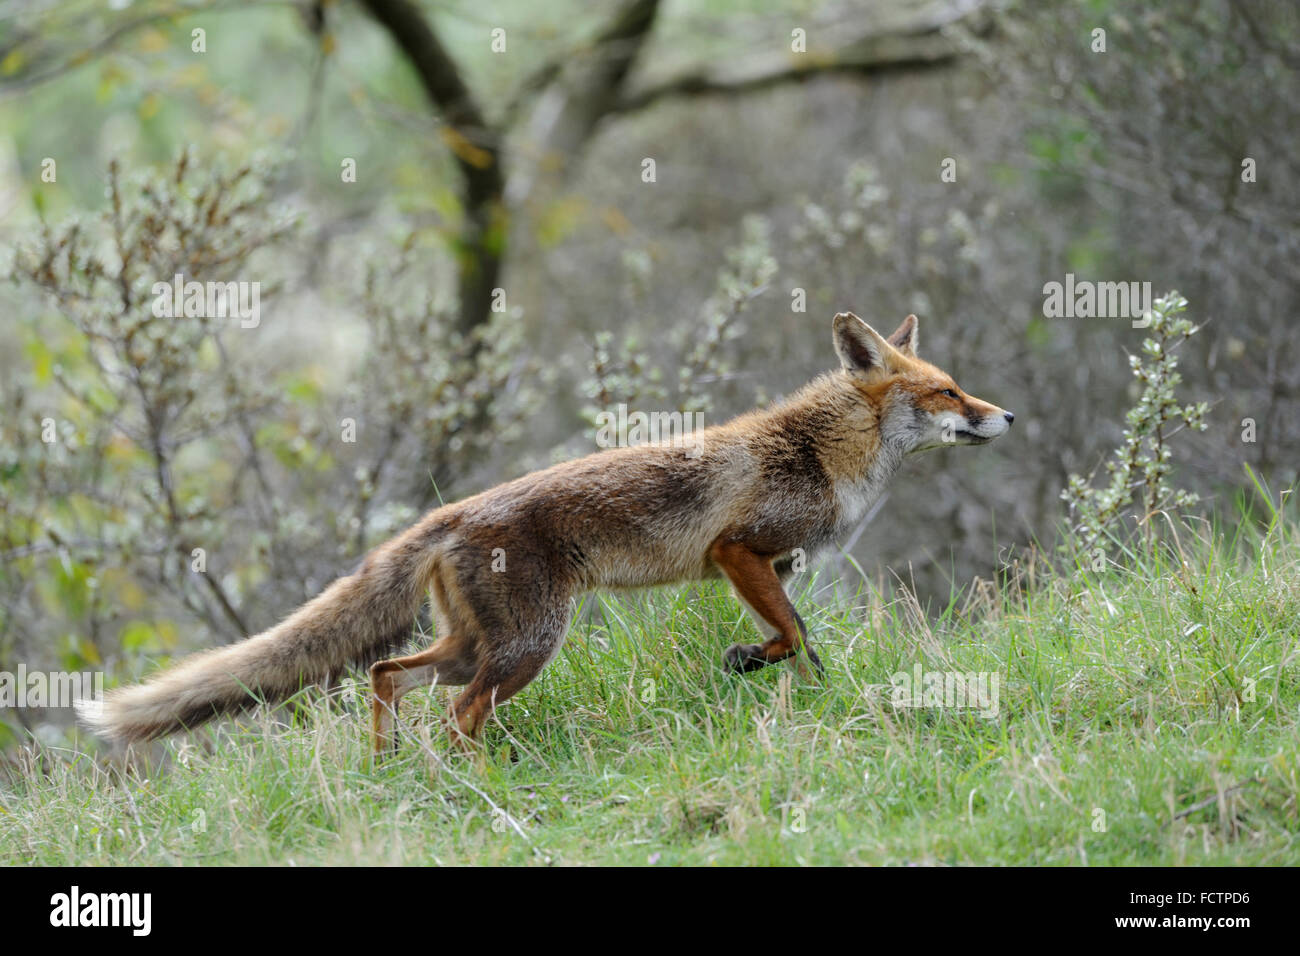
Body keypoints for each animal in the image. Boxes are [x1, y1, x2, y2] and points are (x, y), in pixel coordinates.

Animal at [77, 312, 1014, 755]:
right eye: (947, 391)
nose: (1005, 415)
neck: (823, 452)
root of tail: (450, 513)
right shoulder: (738, 550)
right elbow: (793, 631)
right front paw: (759, 664)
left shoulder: (767, 563)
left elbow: (799, 638)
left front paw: (784, 677)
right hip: (526, 646)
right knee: (456, 716)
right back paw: (476, 786)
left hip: (480, 644)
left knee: (386, 673)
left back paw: (388, 771)